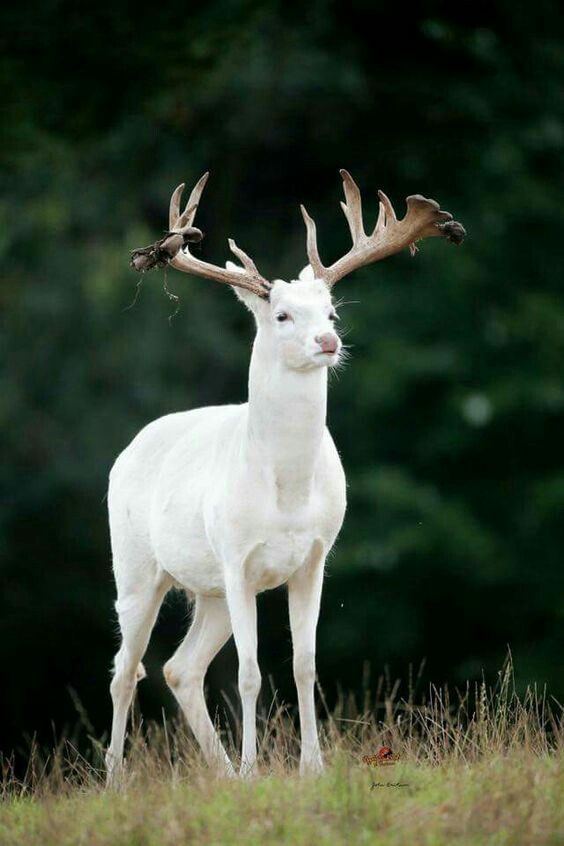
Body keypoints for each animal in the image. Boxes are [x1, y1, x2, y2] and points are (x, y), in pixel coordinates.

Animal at [106, 170, 465, 785]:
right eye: (281, 316)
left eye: (332, 314)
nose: (328, 343)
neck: (287, 492)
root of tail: (128, 449)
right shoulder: (236, 558)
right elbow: (250, 672)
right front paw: (256, 771)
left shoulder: (314, 558)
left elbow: (304, 664)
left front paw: (311, 768)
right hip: (136, 568)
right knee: (125, 671)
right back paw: (115, 782)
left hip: (209, 590)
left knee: (179, 668)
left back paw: (222, 773)